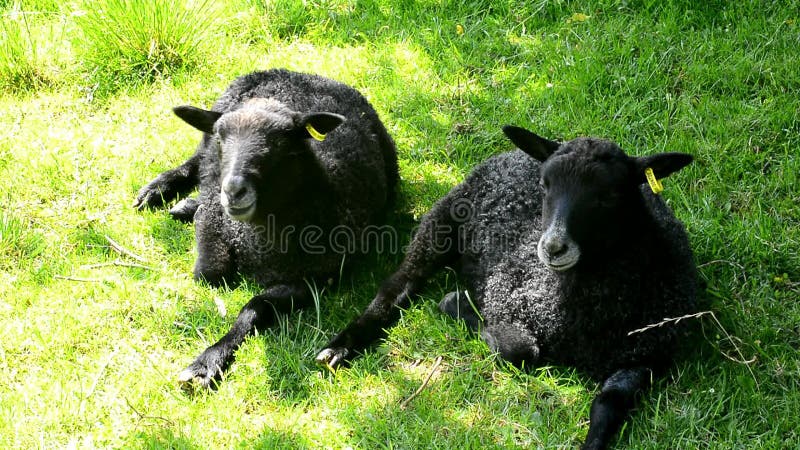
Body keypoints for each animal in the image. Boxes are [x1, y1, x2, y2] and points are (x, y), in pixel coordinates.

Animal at [134, 69, 399, 389]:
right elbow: (209, 273)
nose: (233, 190)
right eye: (222, 140)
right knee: (197, 161)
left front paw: (208, 361)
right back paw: (158, 190)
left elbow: (256, 306)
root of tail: (299, 73)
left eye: (283, 144)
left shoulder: (315, 279)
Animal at [316, 126, 698, 450]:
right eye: (544, 185)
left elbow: (609, 404)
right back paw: (339, 348)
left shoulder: (646, 355)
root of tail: (514, 152)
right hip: (443, 220)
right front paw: (457, 305)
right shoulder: (508, 299)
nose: (553, 248)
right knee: (397, 286)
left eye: (611, 195)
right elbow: (520, 350)